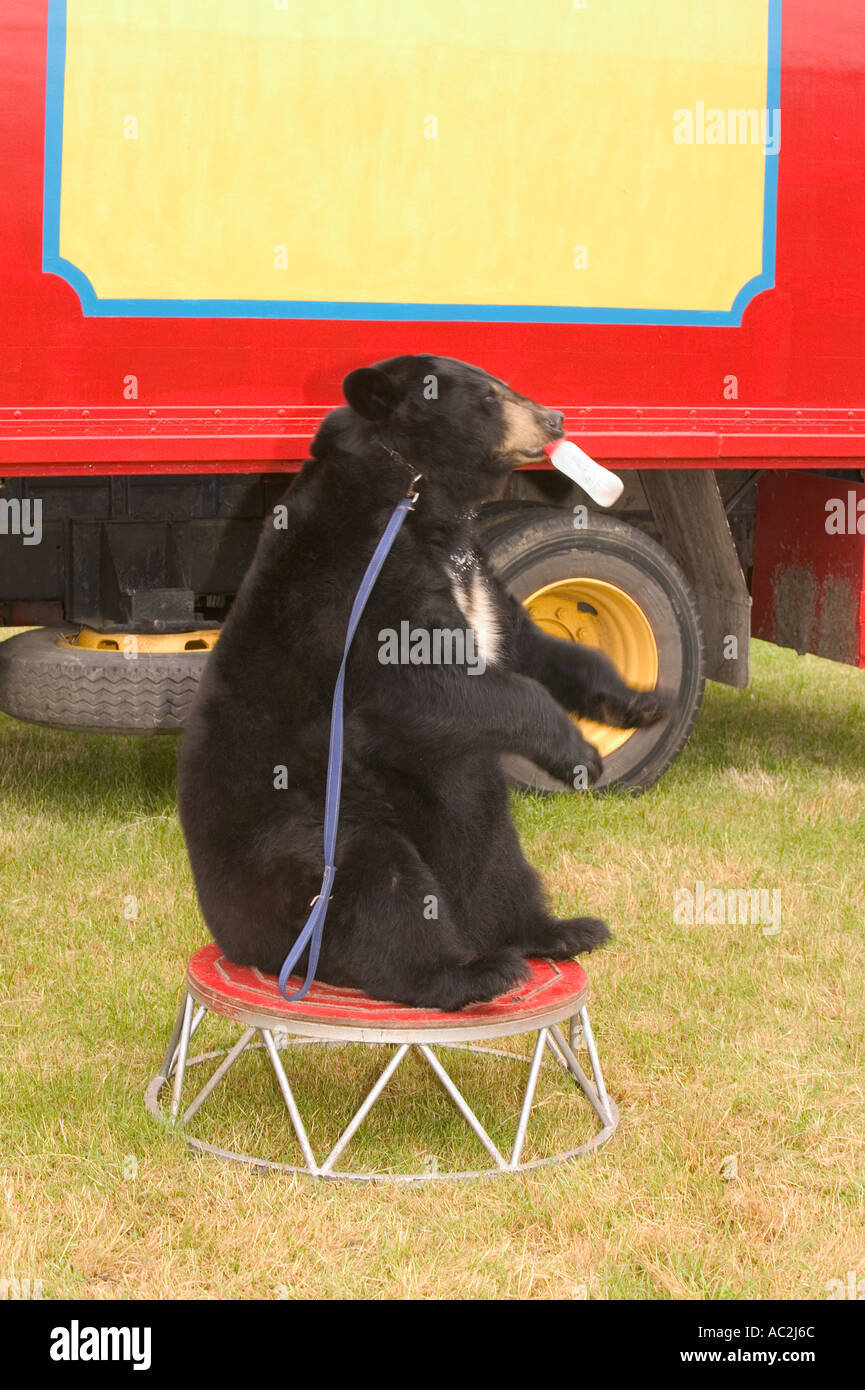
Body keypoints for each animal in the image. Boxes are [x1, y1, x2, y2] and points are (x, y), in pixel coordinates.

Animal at [178, 355, 669, 1011]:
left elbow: (530, 648)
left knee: (494, 856)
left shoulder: (476, 577)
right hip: (307, 837)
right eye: (488, 395)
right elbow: (418, 690)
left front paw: (639, 702)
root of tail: (237, 940)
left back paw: (555, 931)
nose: (555, 418)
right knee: (381, 887)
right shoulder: (356, 583)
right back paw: (467, 973)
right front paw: (576, 751)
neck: (420, 499)